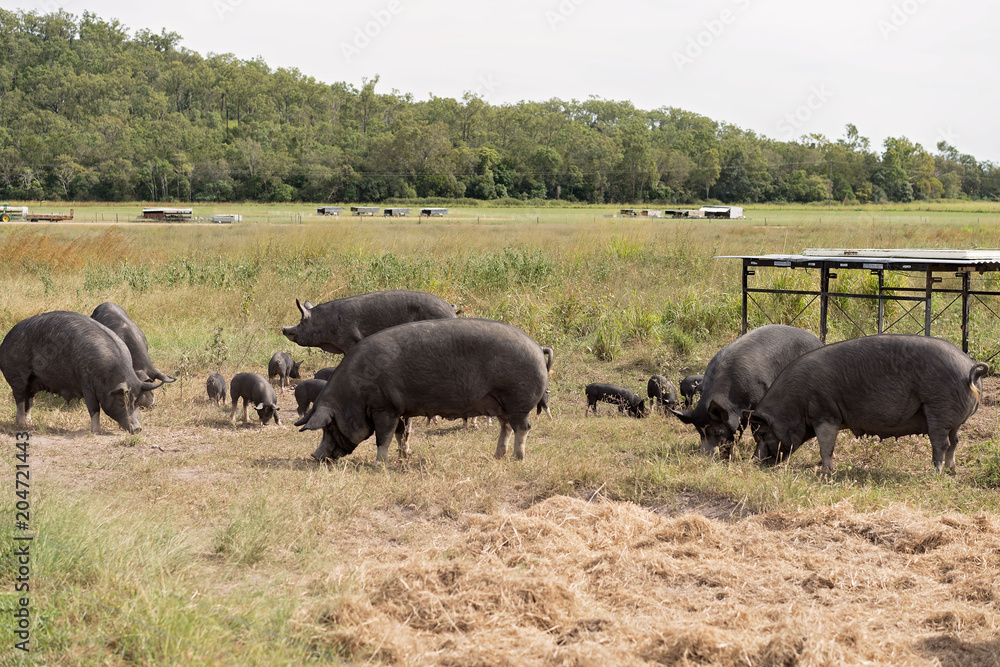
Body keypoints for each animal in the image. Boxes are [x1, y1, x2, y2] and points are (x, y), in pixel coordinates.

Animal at [0, 311, 163, 433]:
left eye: (137, 401)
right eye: (122, 401)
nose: (137, 429)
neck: (108, 376)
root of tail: (5, 341)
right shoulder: (87, 384)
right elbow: (94, 408)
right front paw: (96, 432)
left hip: (33, 381)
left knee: (29, 400)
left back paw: (29, 423)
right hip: (17, 375)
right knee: (20, 399)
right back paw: (22, 425)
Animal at [296, 318, 551, 462]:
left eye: (329, 426)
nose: (314, 456)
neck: (355, 395)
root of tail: (538, 347)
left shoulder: (383, 408)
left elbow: (383, 437)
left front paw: (380, 464)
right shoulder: (398, 409)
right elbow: (400, 434)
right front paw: (403, 456)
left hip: (517, 400)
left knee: (523, 428)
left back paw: (517, 459)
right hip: (501, 404)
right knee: (506, 427)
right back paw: (498, 456)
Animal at [749, 335, 989, 474]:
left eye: (762, 433)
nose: (754, 461)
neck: (795, 405)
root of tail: (969, 368)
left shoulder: (825, 413)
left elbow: (826, 446)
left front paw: (826, 472)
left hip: (938, 409)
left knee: (941, 443)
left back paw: (935, 472)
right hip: (954, 420)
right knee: (955, 441)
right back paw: (952, 470)